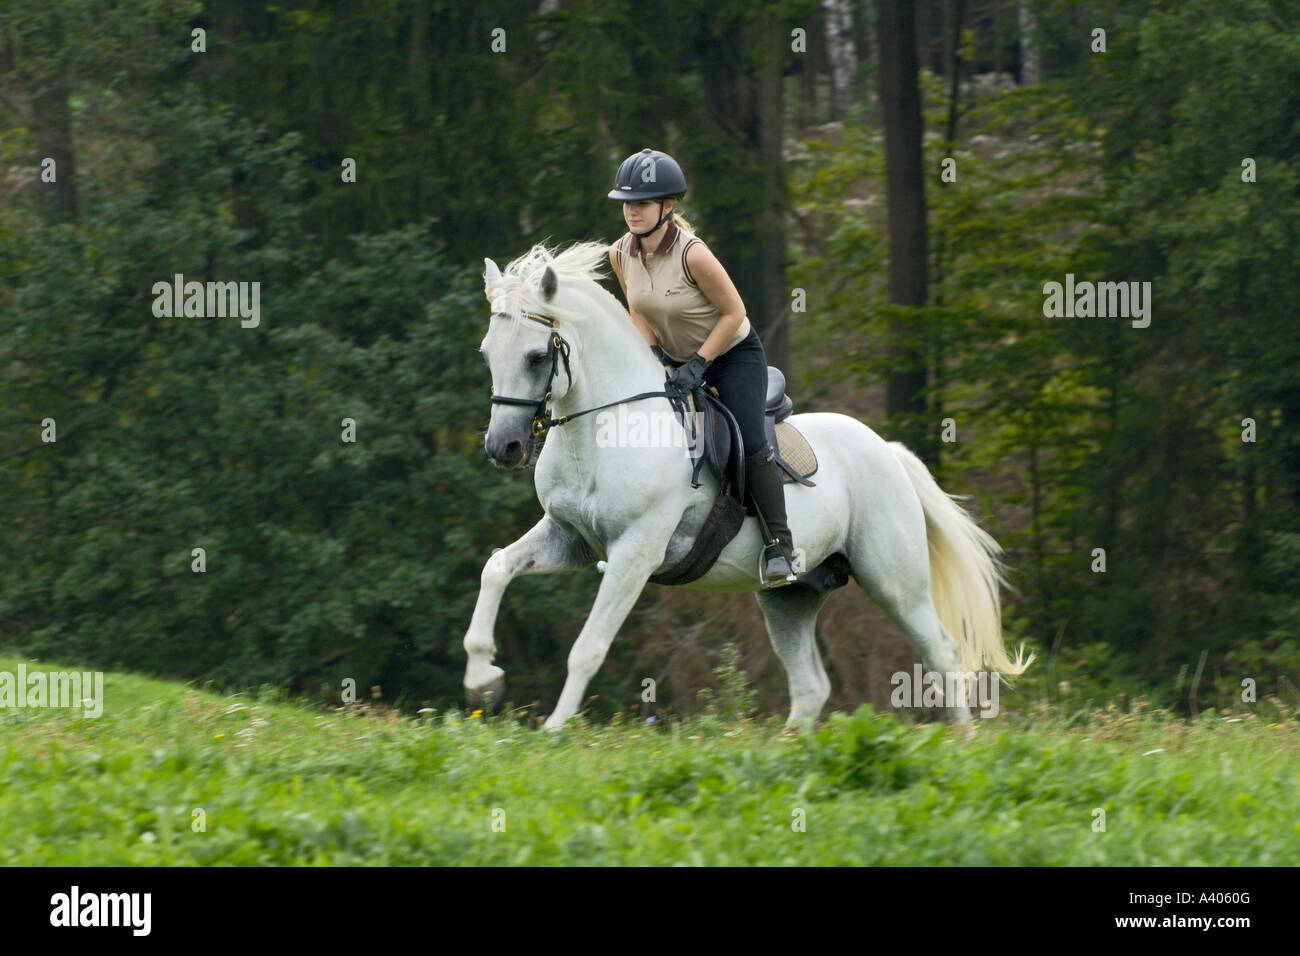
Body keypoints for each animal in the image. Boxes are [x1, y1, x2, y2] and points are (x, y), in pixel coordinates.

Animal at [466, 240, 1032, 731]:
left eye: (537, 357)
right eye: (487, 352)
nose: (503, 447)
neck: (604, 431)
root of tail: (886, 450)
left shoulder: (634, 551)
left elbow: (588, 646)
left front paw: (555, 728)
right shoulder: (570, 537)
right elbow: (495, 568)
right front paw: (482, 677)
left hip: (894, 579)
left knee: (941, 652)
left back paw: (963, 743)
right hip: (790, 597)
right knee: (811, 686)